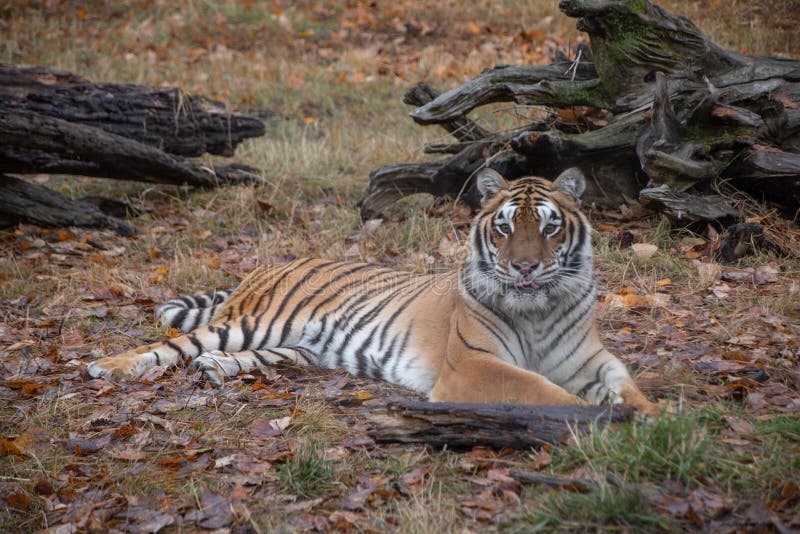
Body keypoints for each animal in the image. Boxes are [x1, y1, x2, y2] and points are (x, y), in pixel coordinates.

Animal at [87, 167, 658, 415]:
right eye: (503, 228)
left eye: (549, 227)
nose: (524, 267)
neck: (537, 309)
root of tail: (268, 265)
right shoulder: (473, 366)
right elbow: (543, 390)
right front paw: (597, 417)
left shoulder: (591, 360)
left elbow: (630, 387)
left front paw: (655, 418)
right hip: (253, 322)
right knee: (170, 345)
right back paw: (107, 367)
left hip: (296, 347)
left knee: (237, 356)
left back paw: (216, 370)